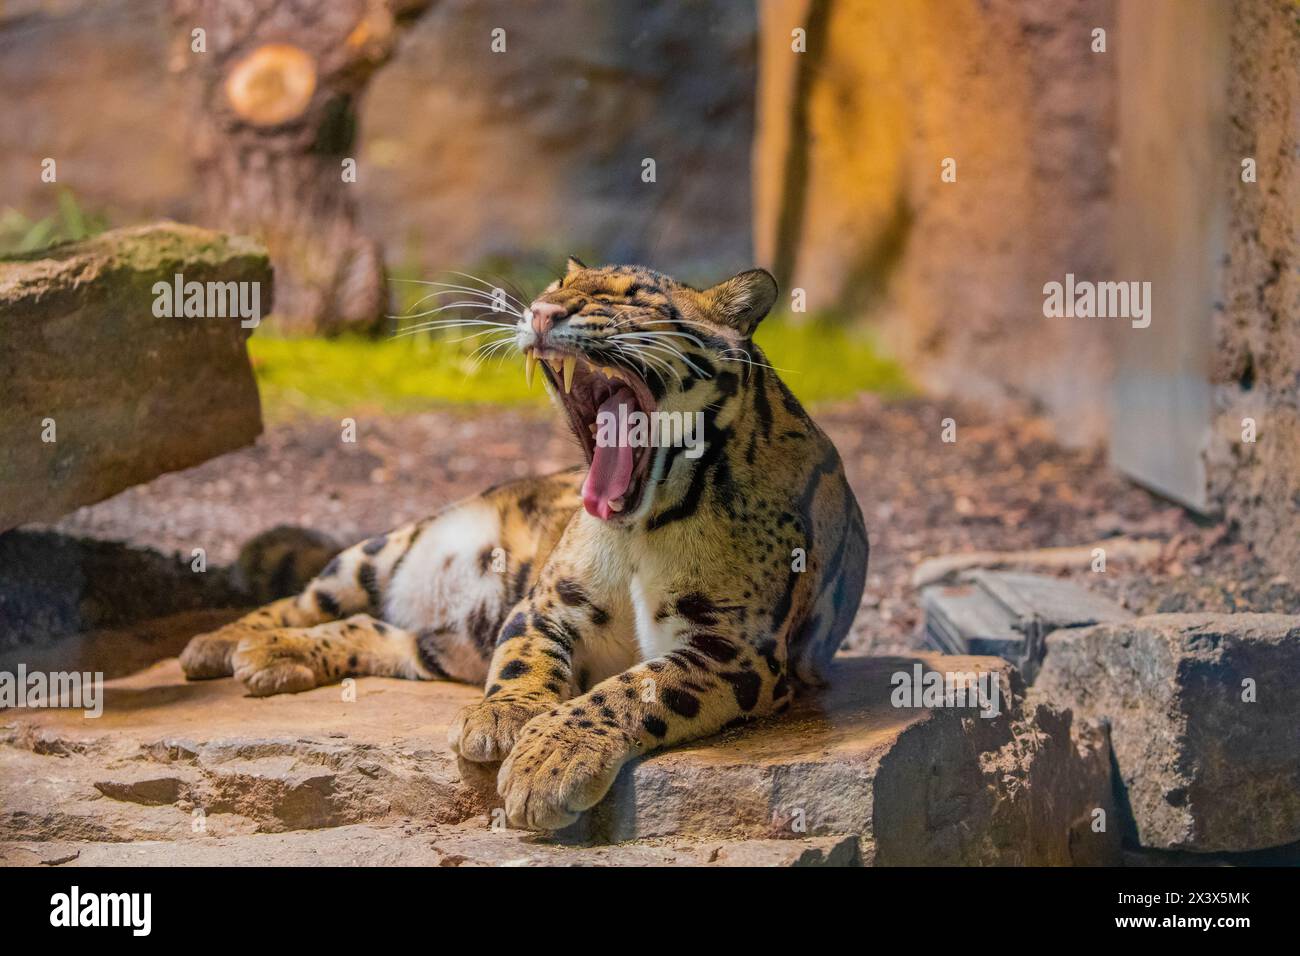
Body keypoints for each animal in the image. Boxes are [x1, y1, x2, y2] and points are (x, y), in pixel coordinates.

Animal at [179, 258, 869, 831]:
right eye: (555, 288)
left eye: (631, 297)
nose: (539, 313)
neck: (643, 525)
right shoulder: (546, 603)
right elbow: (525, 656)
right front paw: (506, 715)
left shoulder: (736, 649)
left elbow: (635, 688)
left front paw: (550, 759)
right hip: (383, 551)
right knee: (311, 599)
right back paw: (228, 644)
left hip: (442, 645)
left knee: (375, 633)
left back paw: (271, 654)